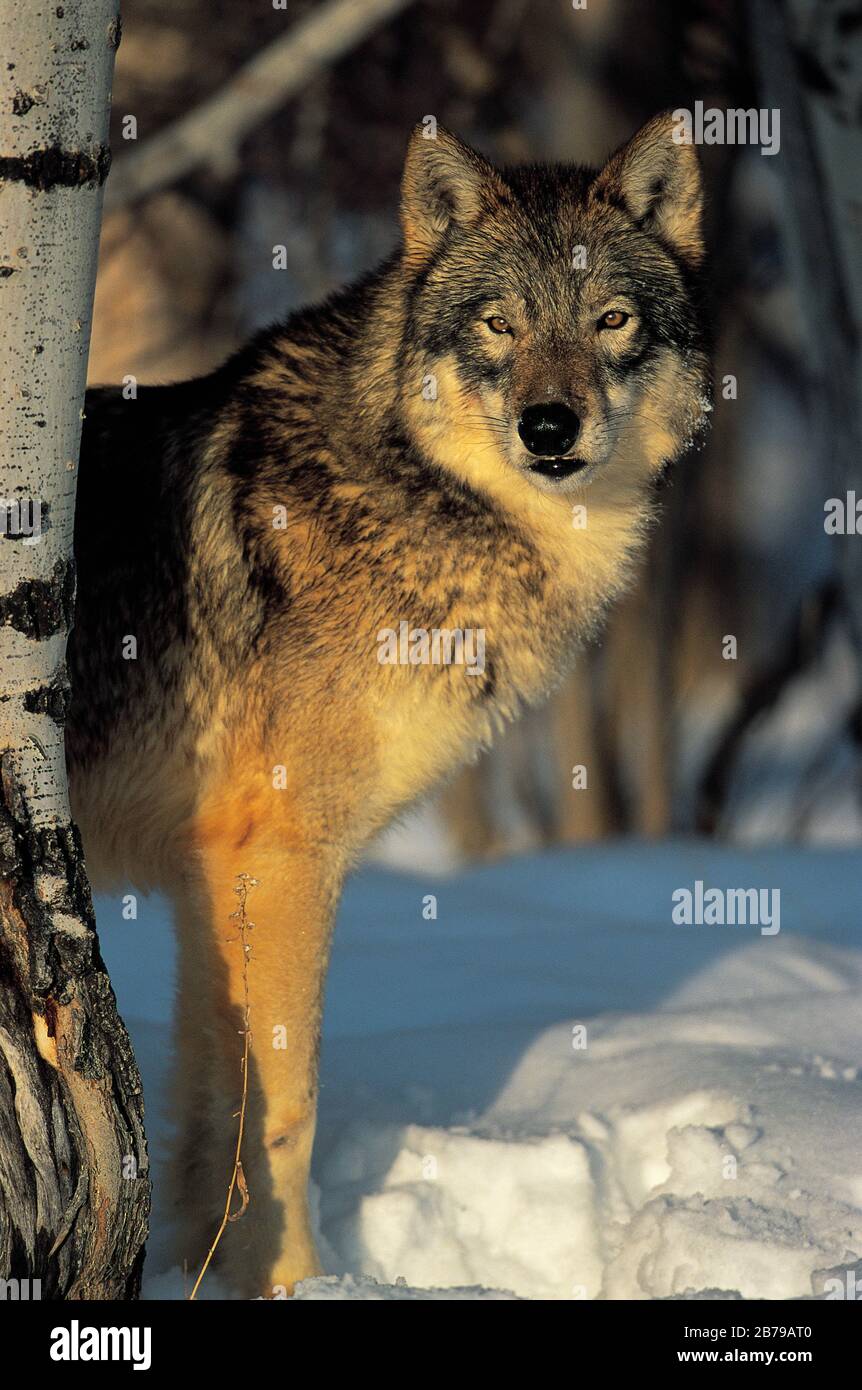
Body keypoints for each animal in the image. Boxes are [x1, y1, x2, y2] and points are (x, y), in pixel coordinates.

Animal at [67, 112, 710, 1296]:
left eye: (610, 321)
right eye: (500, 324)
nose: (550, 427)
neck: (415, 492)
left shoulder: (214, 869)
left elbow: (212, 1118)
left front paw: (212, 1267)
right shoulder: (283, 857)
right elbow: (284, 1111)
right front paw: (296, 1279)